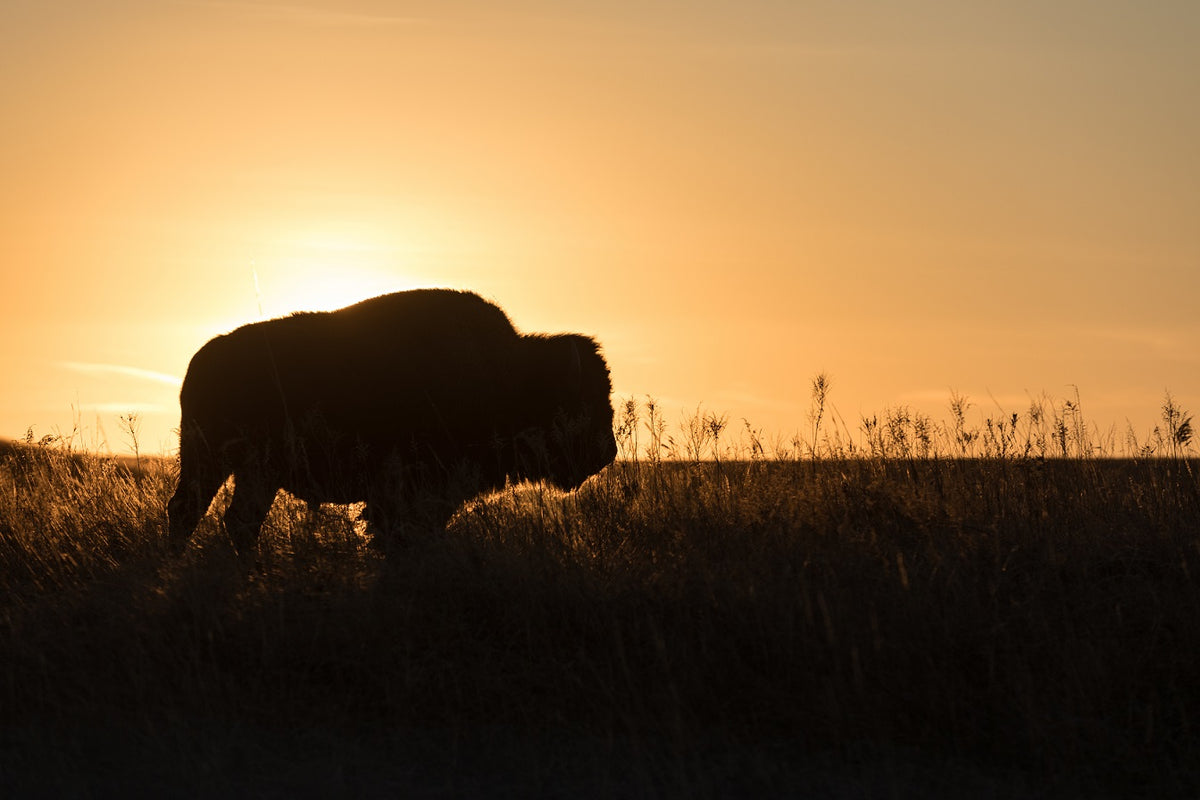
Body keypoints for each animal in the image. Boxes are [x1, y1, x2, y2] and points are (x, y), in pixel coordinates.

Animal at [167, 289, 618, 554]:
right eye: (584, 398)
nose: (608, 451)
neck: (508, 374)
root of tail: (201, 360)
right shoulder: (409, 489)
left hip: (247, 470)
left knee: (230, 518)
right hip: (223, 463)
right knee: (198, 513)